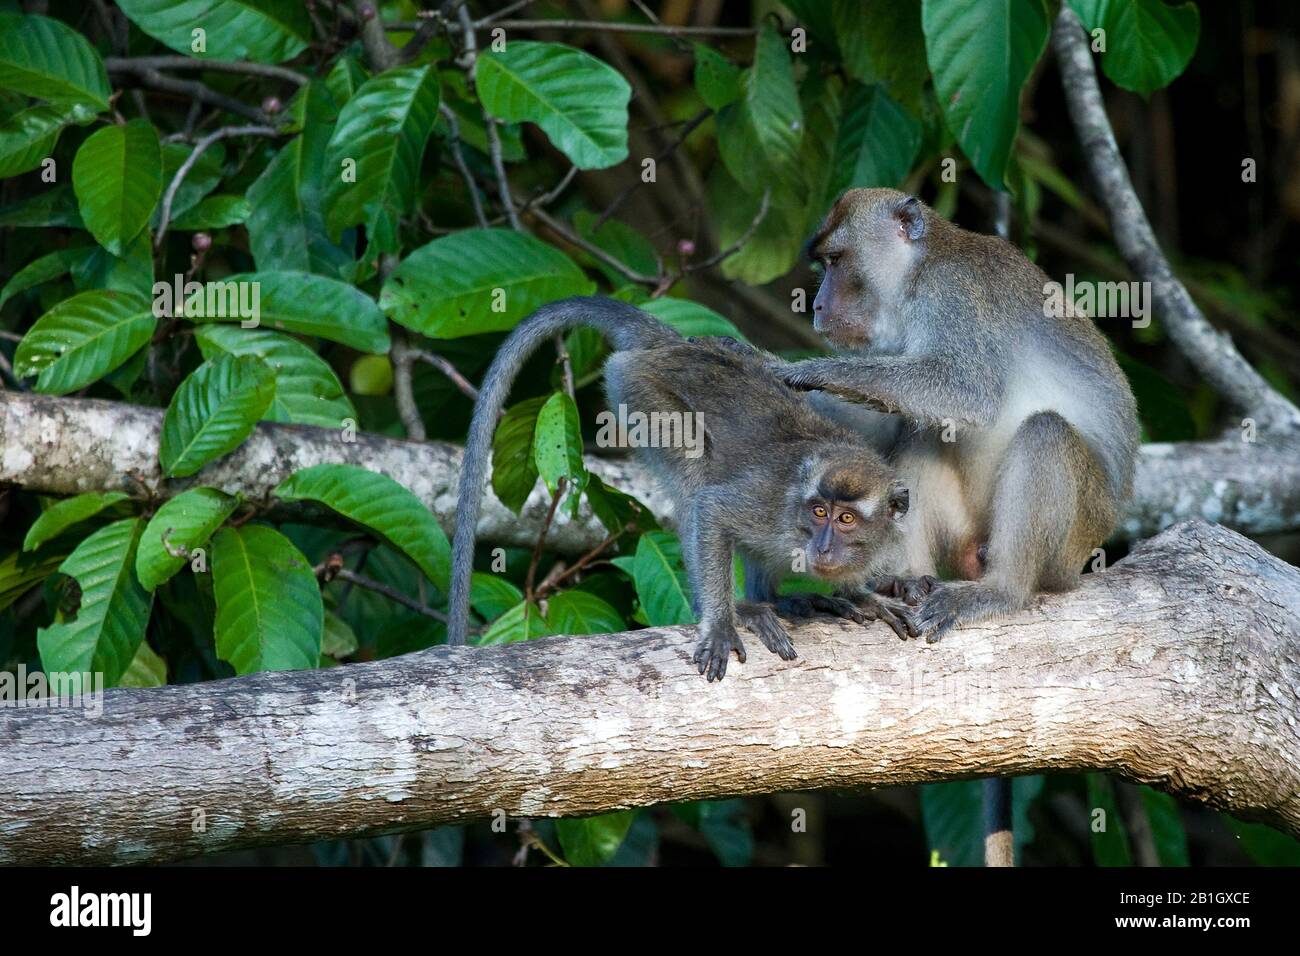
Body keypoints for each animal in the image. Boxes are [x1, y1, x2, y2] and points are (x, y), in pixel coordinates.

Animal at [446, 295, 915, 680]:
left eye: (846, 519)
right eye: (819, 512)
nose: (822, 546)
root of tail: (673, 343)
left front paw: (861, 595)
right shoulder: (771, 509)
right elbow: (710, 508)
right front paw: (720, 621)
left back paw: (782, 602)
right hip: (637, 388)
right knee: (694, 474)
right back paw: (743, 607)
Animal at [769, 187, 1140, 644]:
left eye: (836, 261)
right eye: (823, 265)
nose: (818, 305)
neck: (919, 270)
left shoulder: (951, 294)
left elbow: (969, 391)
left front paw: (812, 371)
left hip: (1074, 539)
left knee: (1045, 431)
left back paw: (1003, 590)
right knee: (922, 431)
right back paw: (910, 576)